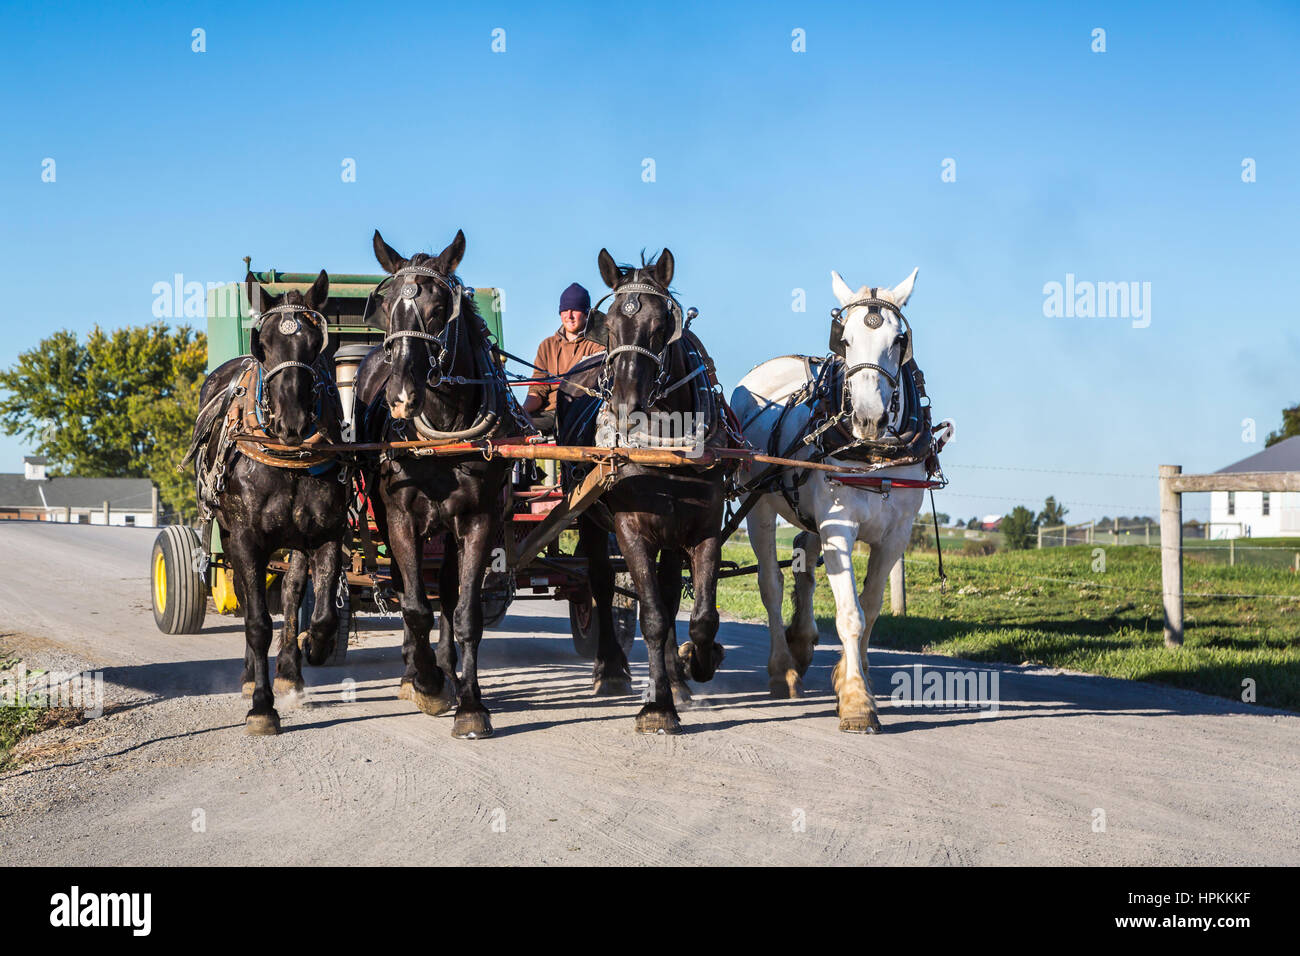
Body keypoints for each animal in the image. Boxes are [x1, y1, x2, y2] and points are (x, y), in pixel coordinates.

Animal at [184, 270, 347, 735]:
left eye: (317, 344)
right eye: (266, 343)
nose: (293, 420)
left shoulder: (327, 532)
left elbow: (320, 613)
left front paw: (312, 650)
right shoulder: (244, 539)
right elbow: (256, 621)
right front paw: (261, 705)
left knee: (291, 594)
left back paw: (290, 672)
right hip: (227, 532)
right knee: (246, 597)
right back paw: (248, 676)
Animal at [353, 229, 525, 740]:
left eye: (437, 309)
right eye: (387, 305)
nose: (400, 397)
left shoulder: (478, 520)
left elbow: (465, 611)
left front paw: (470, 703)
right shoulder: (400, 518)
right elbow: (413, 606)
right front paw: (425, 682)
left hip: (450, 530)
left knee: (447, 592)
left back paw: (449, 668)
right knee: (406, 589)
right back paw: (417, 671)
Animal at [556, 248, 729, 734]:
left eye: (661, 326)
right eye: (611, 327)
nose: (625, 411)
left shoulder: (704, 527)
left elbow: (700, 615)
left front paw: (697, 663)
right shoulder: (631, 529)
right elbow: (651, 615)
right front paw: (657, 707)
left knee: (669, 594)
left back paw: (678, 675)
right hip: (589, 519)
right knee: (598, 582)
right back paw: (610, 669)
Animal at [729, 268, 952, 733]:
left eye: (899, 340)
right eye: (844, 340)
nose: (868, 418)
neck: (874, 454)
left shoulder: (896, 535)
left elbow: (871, 606)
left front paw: (856, 673)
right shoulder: (838, 528)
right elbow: (850, 613)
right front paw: (855, 701)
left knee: (802, 555)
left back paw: (801, 642)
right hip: (760, 507)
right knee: (770, 584)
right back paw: (783, 666)